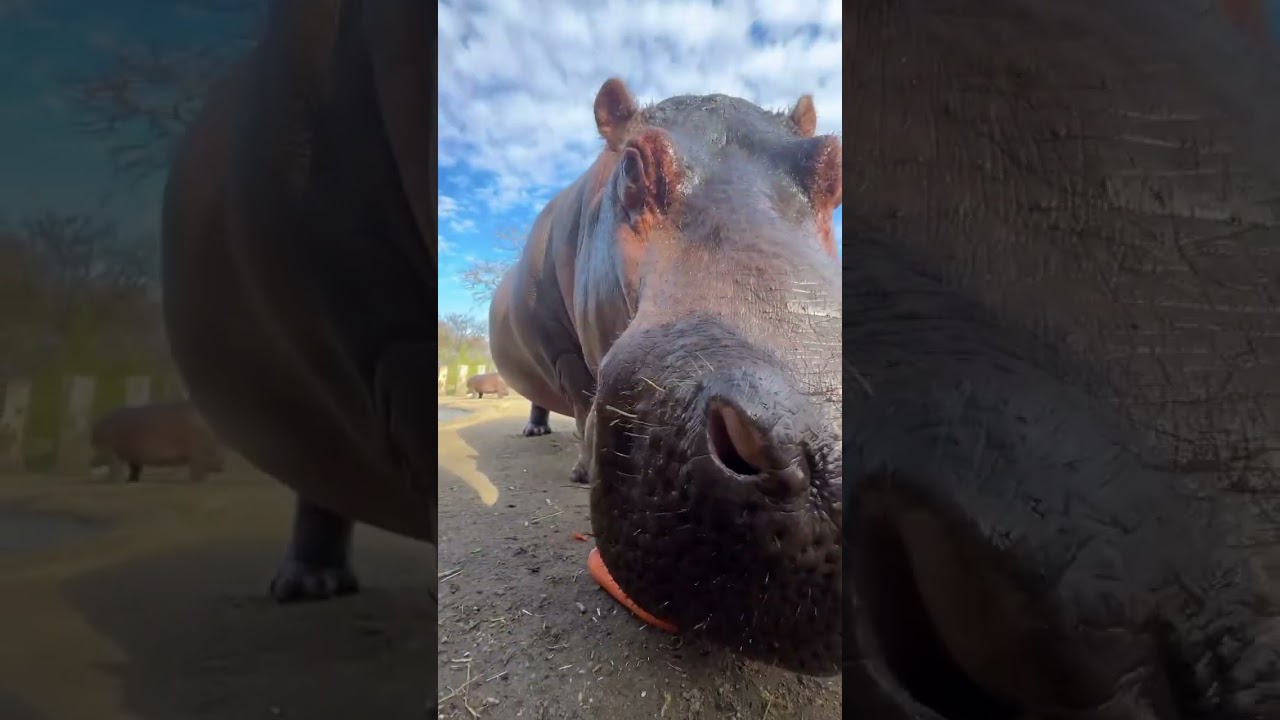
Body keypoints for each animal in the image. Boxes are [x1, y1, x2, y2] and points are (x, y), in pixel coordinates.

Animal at [489, 79, 842, 675]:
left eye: (833, 165)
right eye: (631, 166)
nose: (833, 460)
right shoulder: (566, 354)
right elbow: (581, 401)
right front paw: (581, 473)